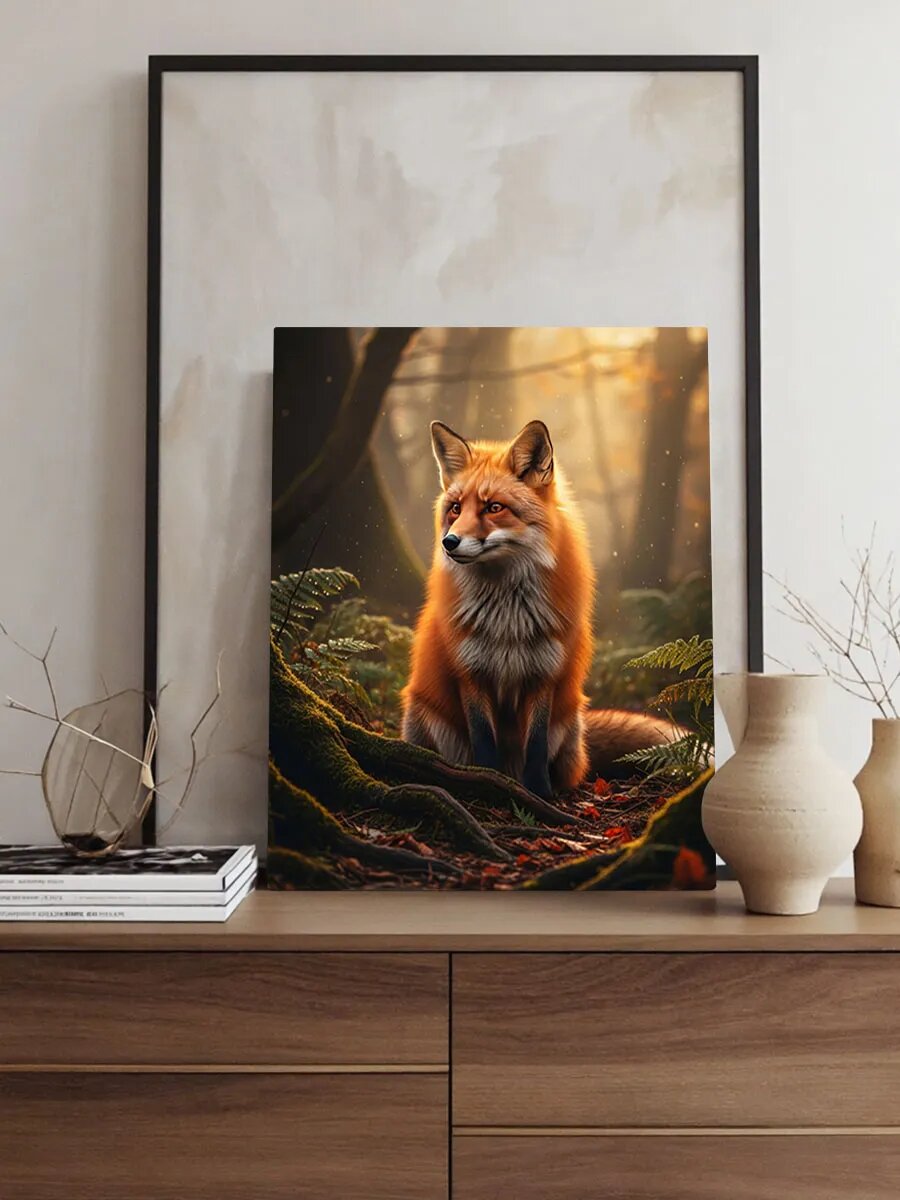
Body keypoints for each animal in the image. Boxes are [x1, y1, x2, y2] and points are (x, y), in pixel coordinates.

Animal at [400, 419, 677, 799]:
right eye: (455, 508)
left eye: (494, 507)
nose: (449, 542)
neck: (507, 618)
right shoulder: (470, 672)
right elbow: (483, 740)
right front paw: (490, 784)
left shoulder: (544, 671)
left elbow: (536, 745)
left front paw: (539, 794)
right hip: (423, 716)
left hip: (569, 721)